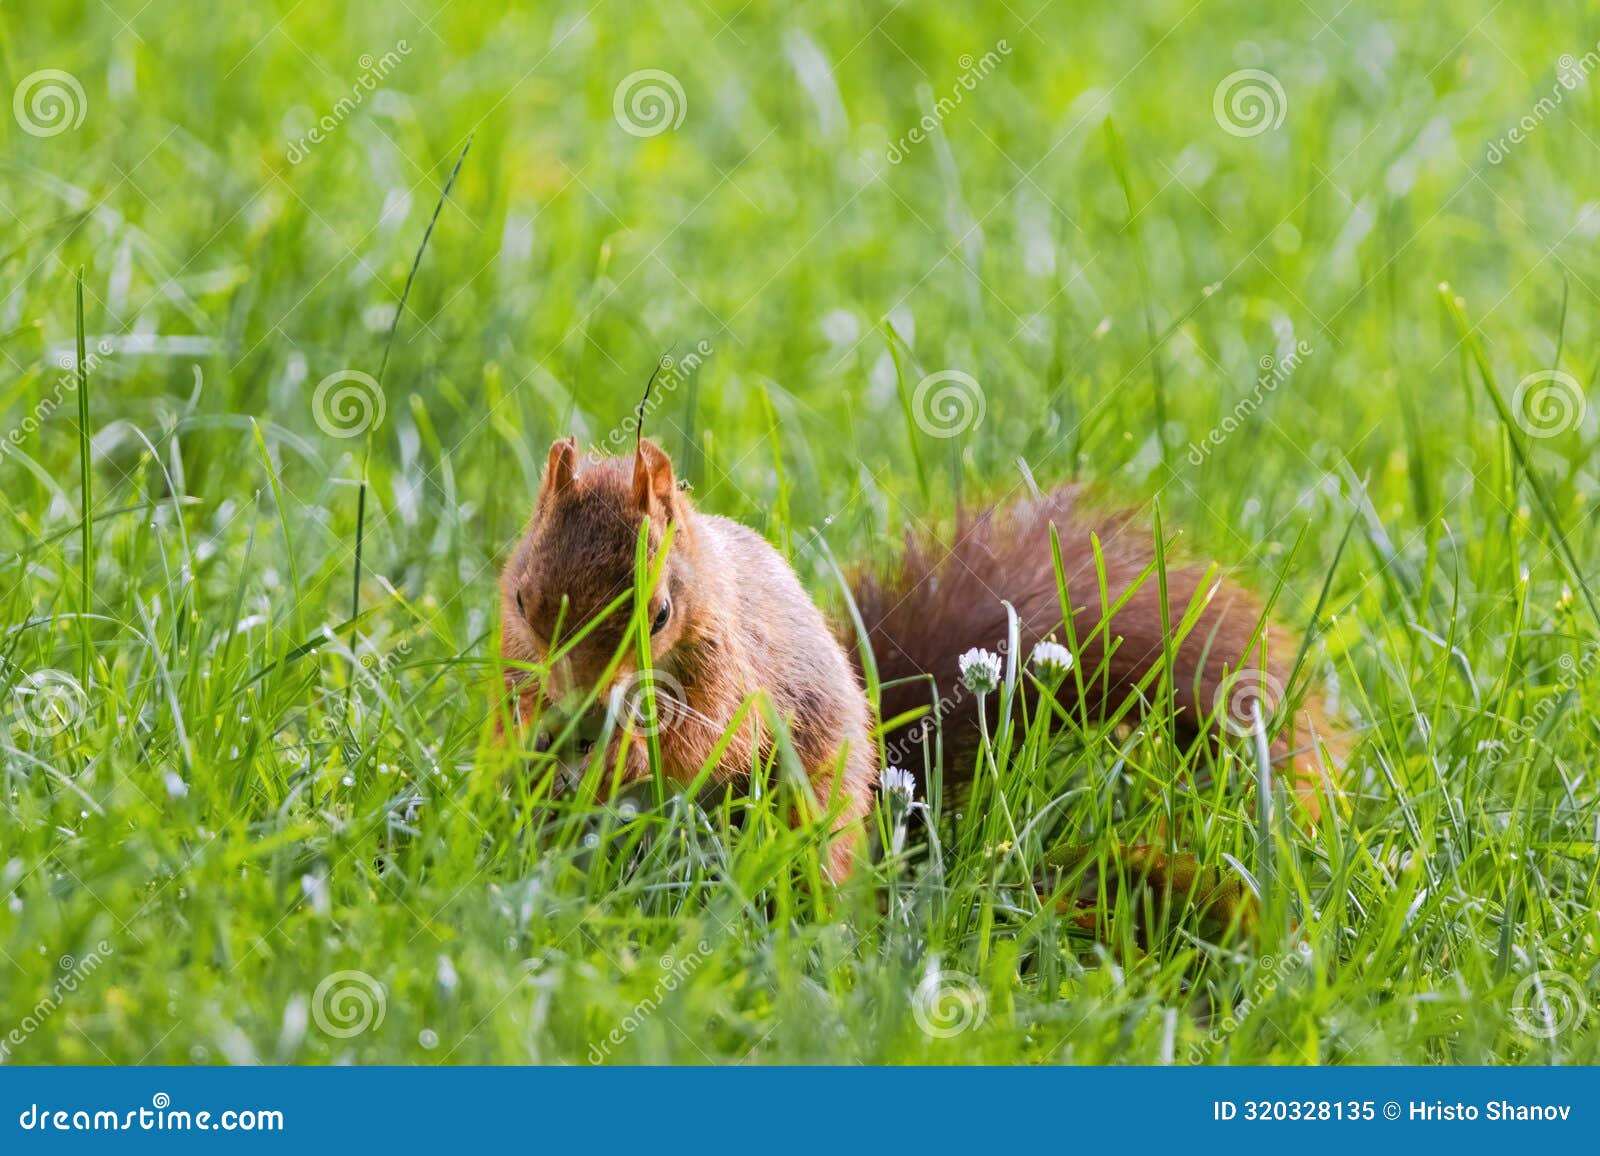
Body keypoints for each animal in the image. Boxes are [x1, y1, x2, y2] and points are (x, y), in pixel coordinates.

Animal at [499, 437, 1338, 881]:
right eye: (521, 600)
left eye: (661, 614)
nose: (581, 718)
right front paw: (542, 754)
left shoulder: (733, 665)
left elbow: (712, 739)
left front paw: (625, 760)